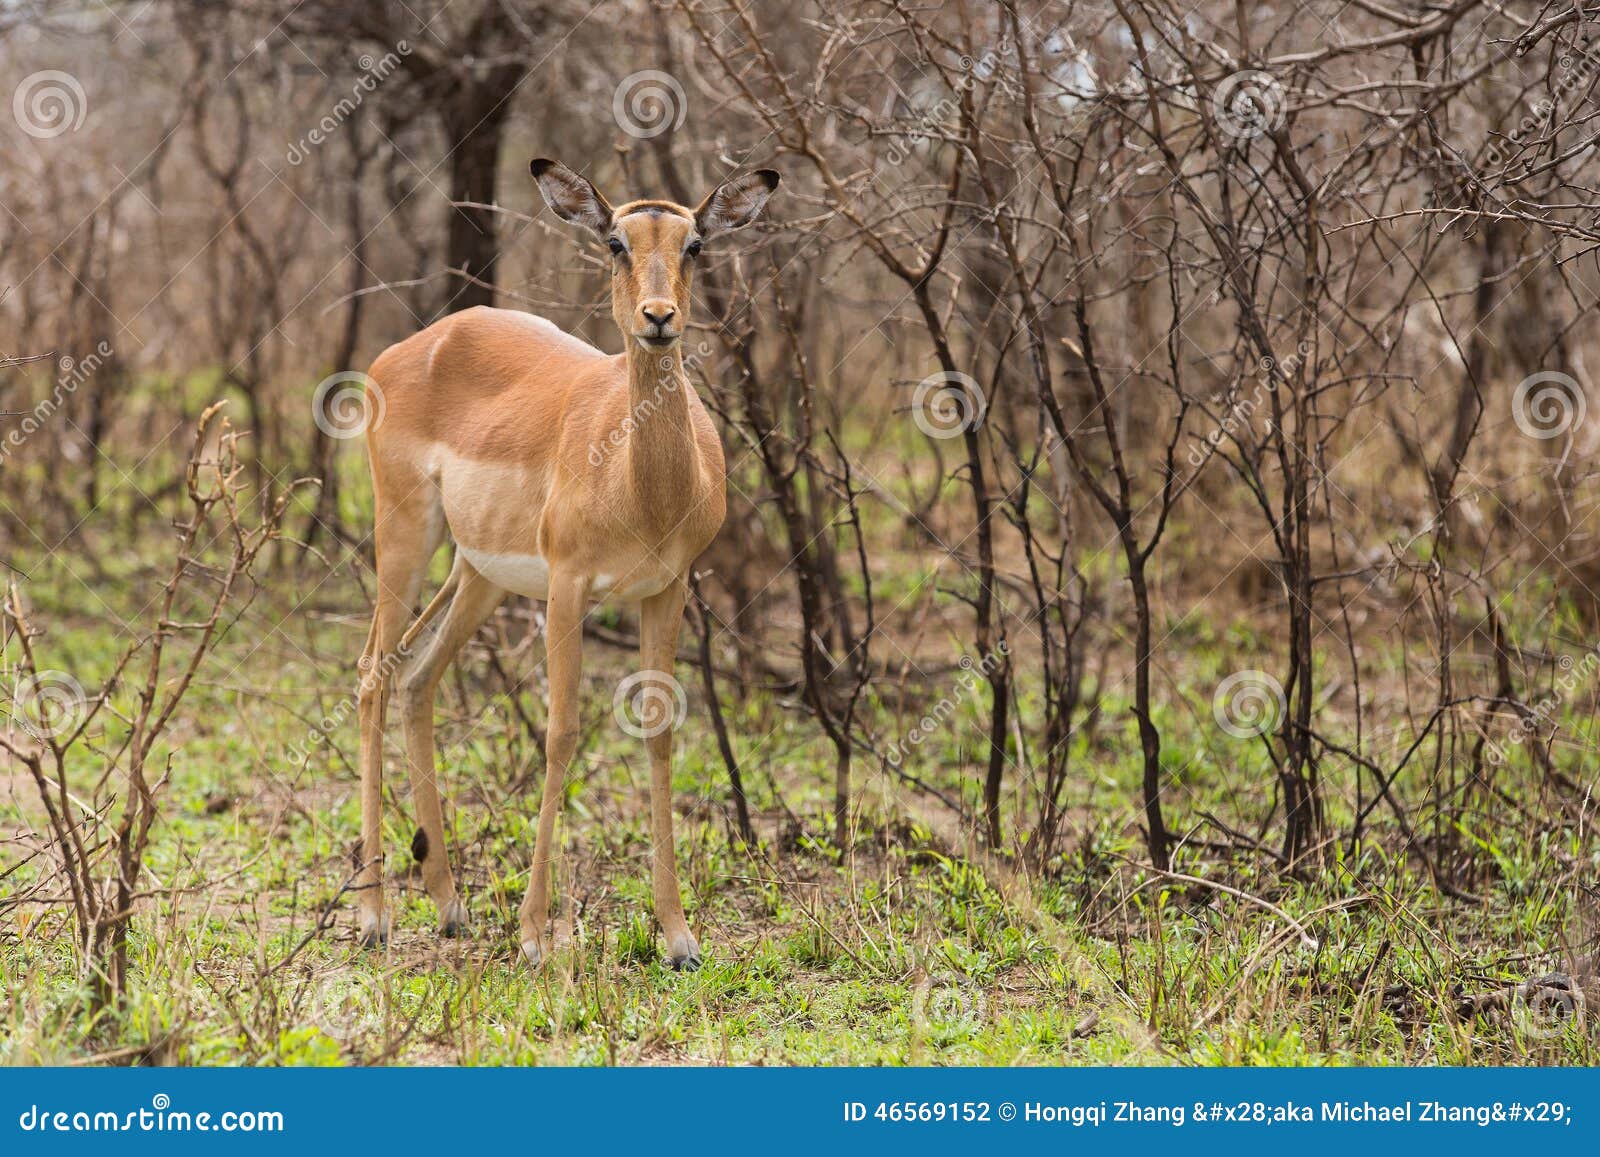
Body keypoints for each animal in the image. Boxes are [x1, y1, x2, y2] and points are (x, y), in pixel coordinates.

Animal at [353, 158, 779, 970]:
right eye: (614, 241)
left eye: (696, 244)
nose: (657, 317)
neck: (640, 482)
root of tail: (414, 346)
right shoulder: (569, 587)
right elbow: (560, 734)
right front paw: (532, 934)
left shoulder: (666, 589)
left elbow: (660, 730)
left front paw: (678, 934)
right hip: (405, 537)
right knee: (371, 675)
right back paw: (374, 916)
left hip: (478, 576)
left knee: (417, 680)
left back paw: (449, 904)